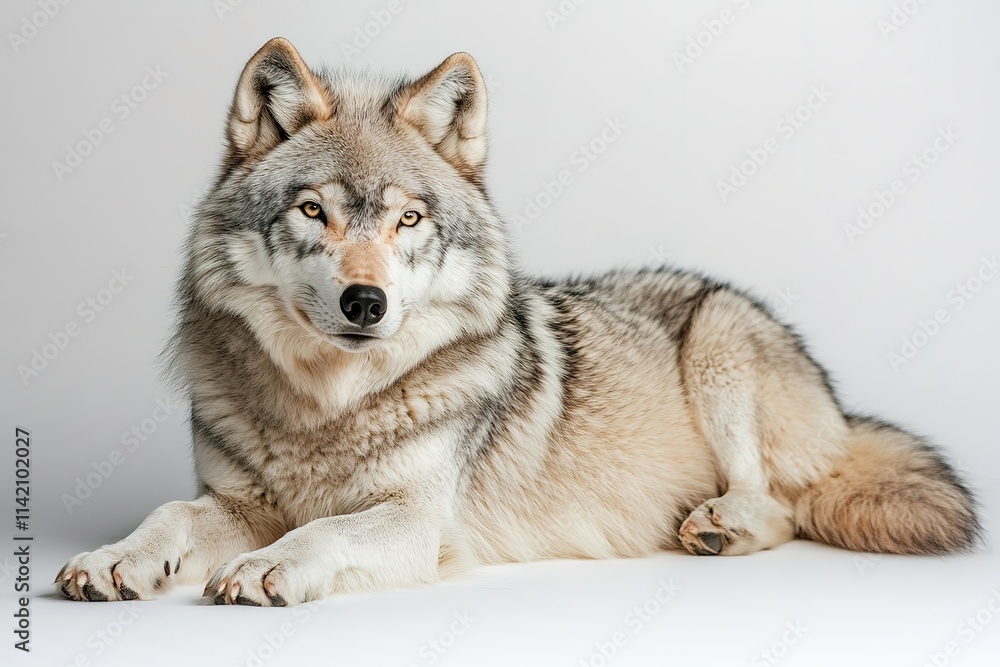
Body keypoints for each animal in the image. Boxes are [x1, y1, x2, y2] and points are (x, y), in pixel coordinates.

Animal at [56, 38, 979, 606]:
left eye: (409, 220)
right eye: (314, 211)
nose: (366, 302)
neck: (330, 407)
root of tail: (843, 411)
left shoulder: (417, 519)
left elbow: (325, 526)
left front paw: (267, 567)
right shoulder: (234, 500)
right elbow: (171, 516)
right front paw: (114, 557)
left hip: (718, 344)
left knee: (781, 505)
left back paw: (718, 524)